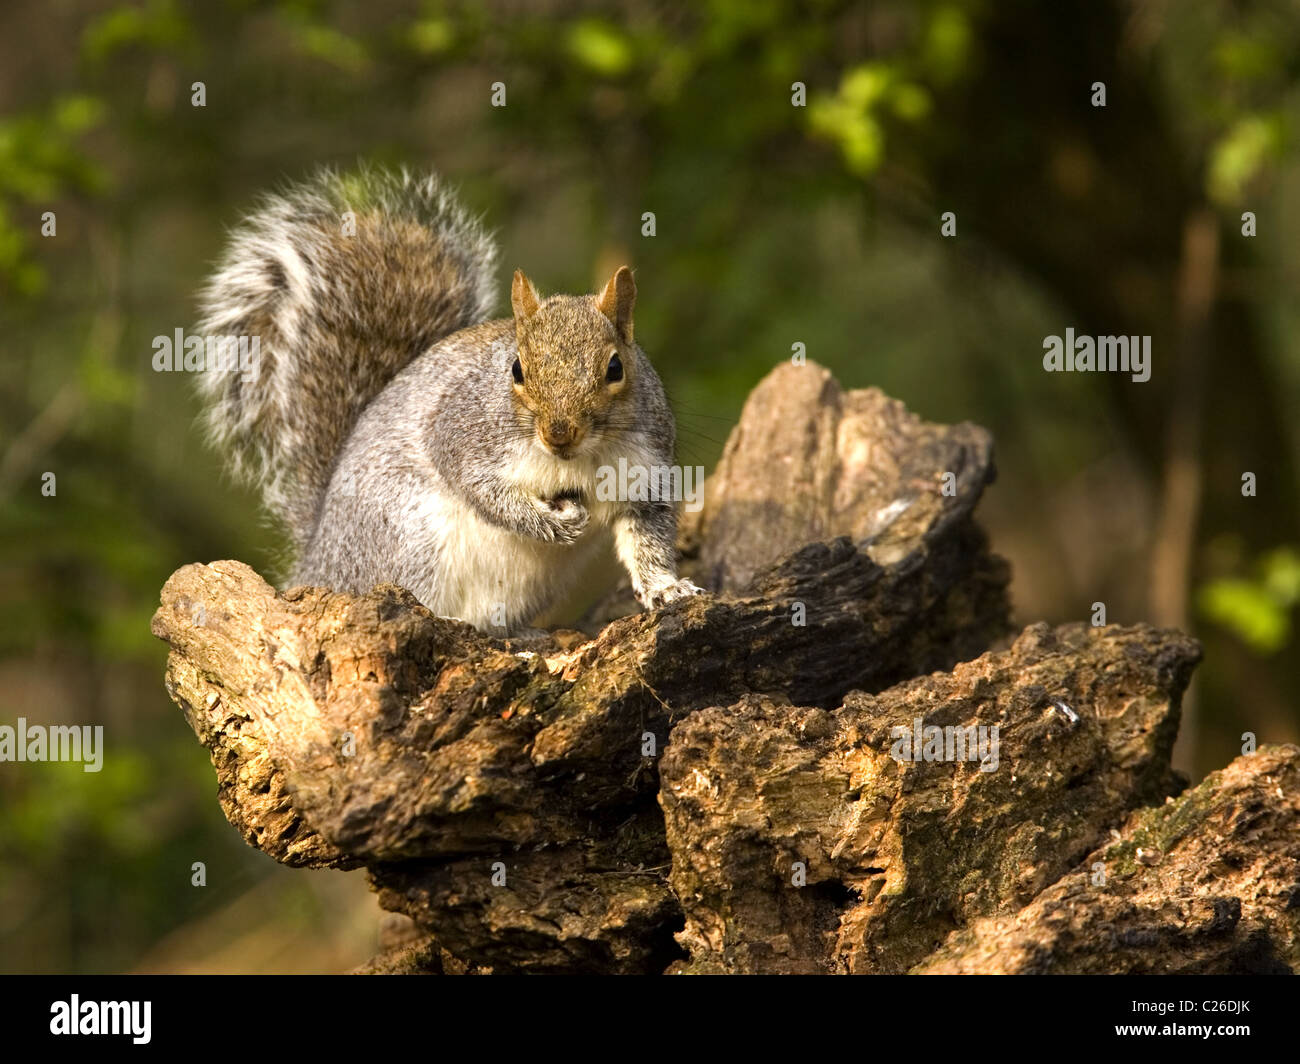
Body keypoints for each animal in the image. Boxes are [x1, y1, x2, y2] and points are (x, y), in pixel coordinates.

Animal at [195, 166, 702, 633]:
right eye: (516, 370)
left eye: (615, 368)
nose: (559, 435)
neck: (577, 460)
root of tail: (319, 564)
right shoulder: (464, 433)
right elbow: (481, 489)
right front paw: (550, 524)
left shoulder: (646, 468)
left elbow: (648, 536)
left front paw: (666, 588)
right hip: (409, 531)